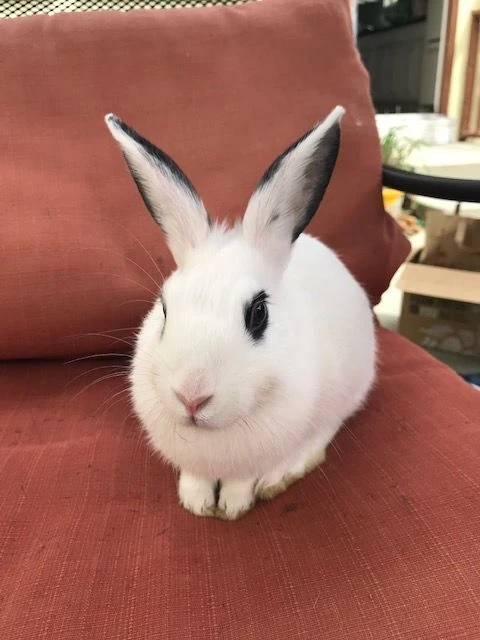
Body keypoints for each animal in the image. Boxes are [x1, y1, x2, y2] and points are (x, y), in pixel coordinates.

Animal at [105, 105, 376, 520]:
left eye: (258, 313)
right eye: (164, 308)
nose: (192, 397)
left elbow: (242, 481)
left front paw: (233, 506)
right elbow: (196, 477)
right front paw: (196, 502)